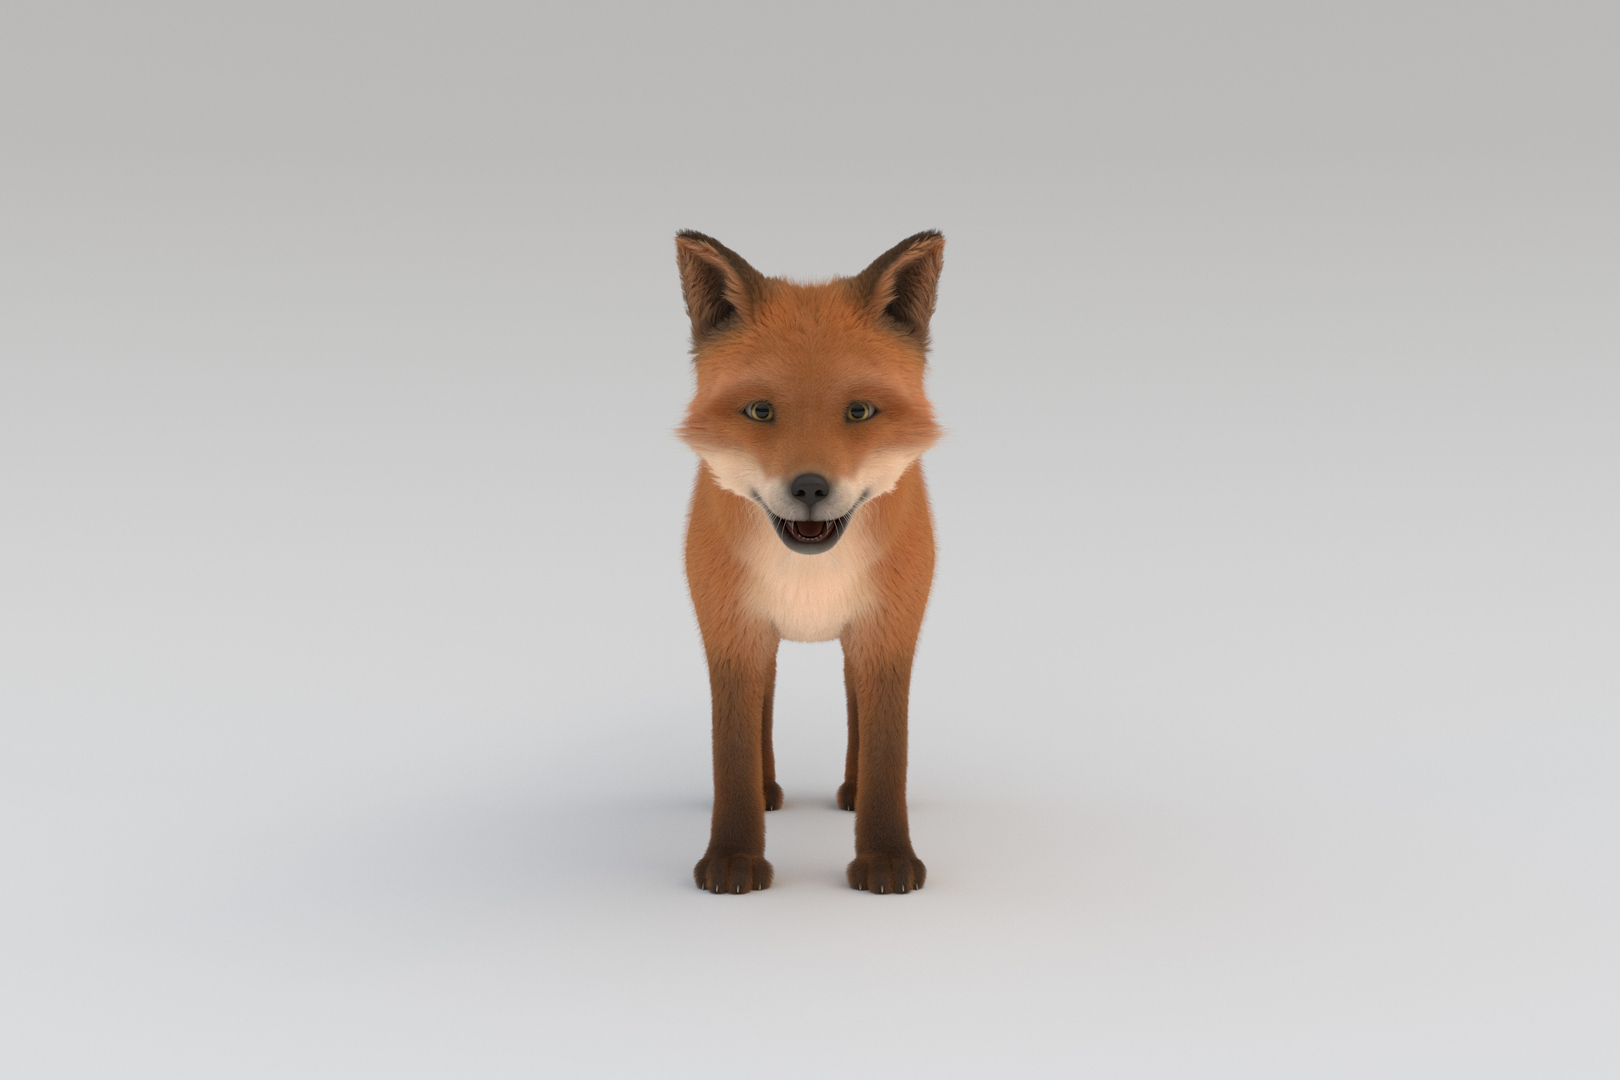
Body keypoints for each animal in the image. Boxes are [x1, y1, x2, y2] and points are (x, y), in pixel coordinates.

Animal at [675, 230, 946, 895]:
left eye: (859, 412)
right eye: (760, 411)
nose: (809, 488)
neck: (809, 577)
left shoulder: (887, 633)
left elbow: (886, 749)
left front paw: (887, 859)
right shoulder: (733, 633)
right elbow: (733, 751)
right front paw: (733, 859)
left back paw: (849, 791)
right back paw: (770, 790)